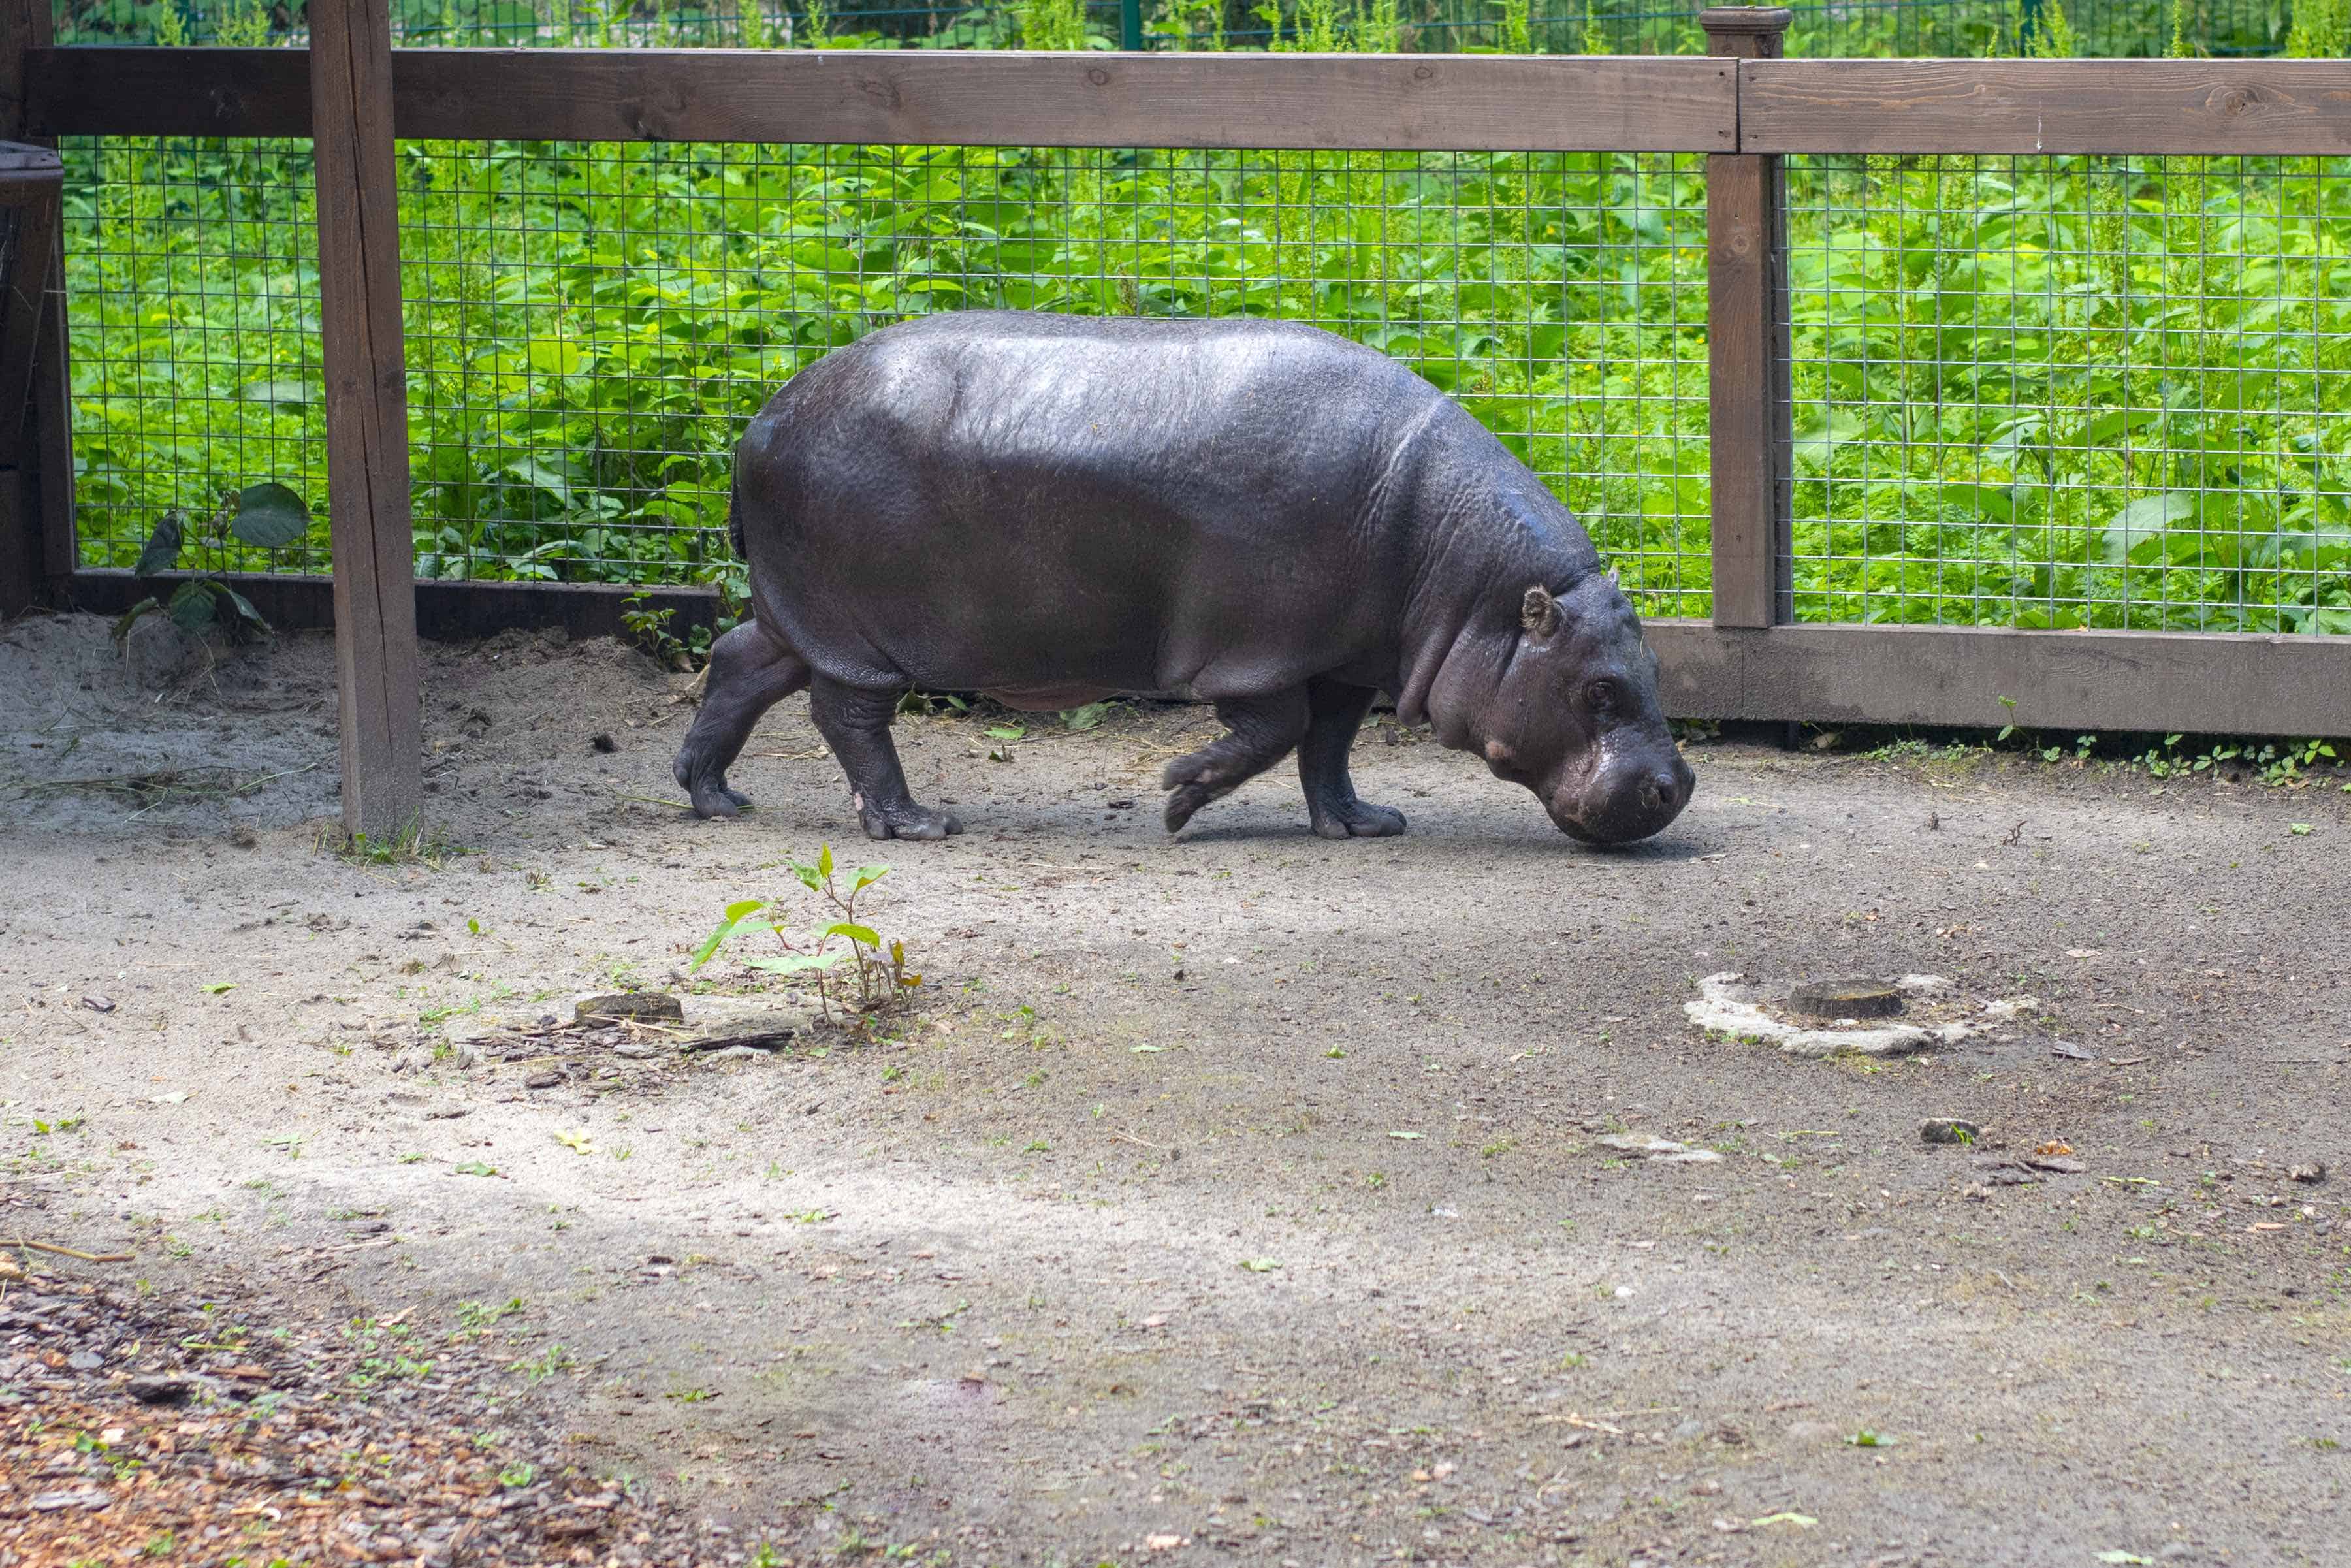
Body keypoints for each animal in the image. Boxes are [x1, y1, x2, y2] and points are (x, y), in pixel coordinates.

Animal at [672, 311, 1694, 845]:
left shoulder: (1344, 654)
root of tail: (758, 423)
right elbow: (1276, 730)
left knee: (739, 660)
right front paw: (1176, 793)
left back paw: (716, 796)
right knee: (847, 715)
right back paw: (917, 823)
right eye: (1600, 691)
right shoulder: (1258, 646)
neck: (1463, 572)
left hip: (799, 613)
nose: (1676, 788)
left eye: (1653, 668)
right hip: (859, 629)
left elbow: (1330, 742)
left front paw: (1365, 822)